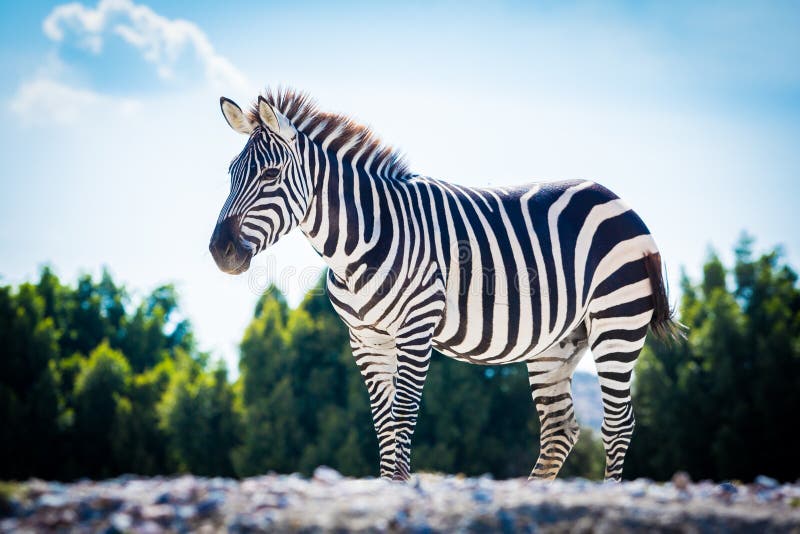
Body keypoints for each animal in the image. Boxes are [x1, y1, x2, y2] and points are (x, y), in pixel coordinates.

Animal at [209, 89, 680, 482]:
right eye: (230, 172)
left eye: (271, 175)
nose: (219, 251)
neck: (355, 248)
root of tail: (618, 200)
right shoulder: (365, 340)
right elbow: (384, 426)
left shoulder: (416, 329)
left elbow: (403, 419)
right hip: (558, 342)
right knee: (560, 430)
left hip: (616, 321)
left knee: (618, 423)